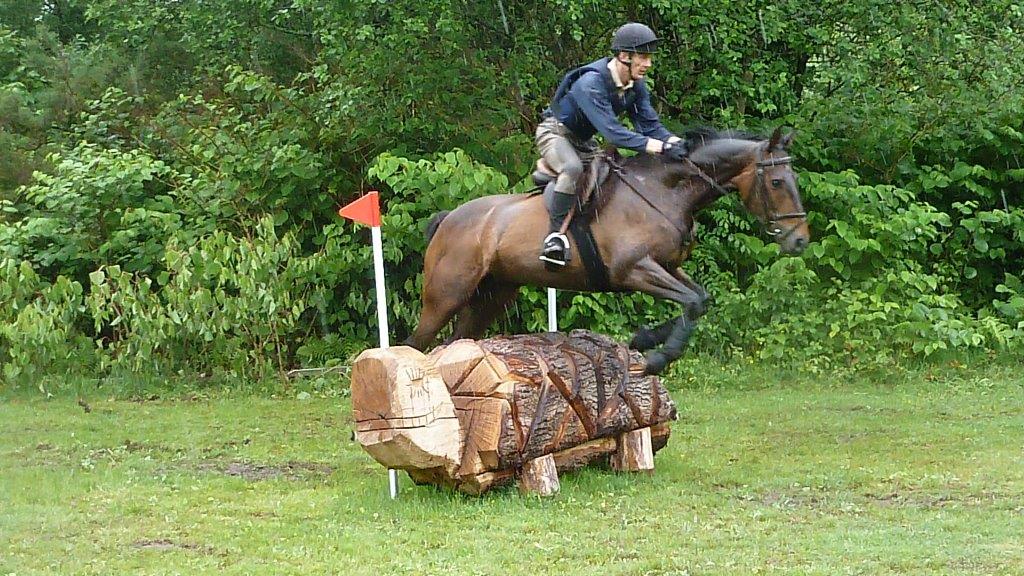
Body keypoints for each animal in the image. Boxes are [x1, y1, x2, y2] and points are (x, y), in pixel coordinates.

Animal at [403, 127, 809, 374]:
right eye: (777, 182)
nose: (800, 240)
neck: (664, 192)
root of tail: (449, 218)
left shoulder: (666, 266)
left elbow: (699, 299)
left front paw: (645, 340)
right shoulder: (634, 270)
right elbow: (692, 302)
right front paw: (656, 358)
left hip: (492, 296)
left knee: (456, 342)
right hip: (446, 296)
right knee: (415, 344)